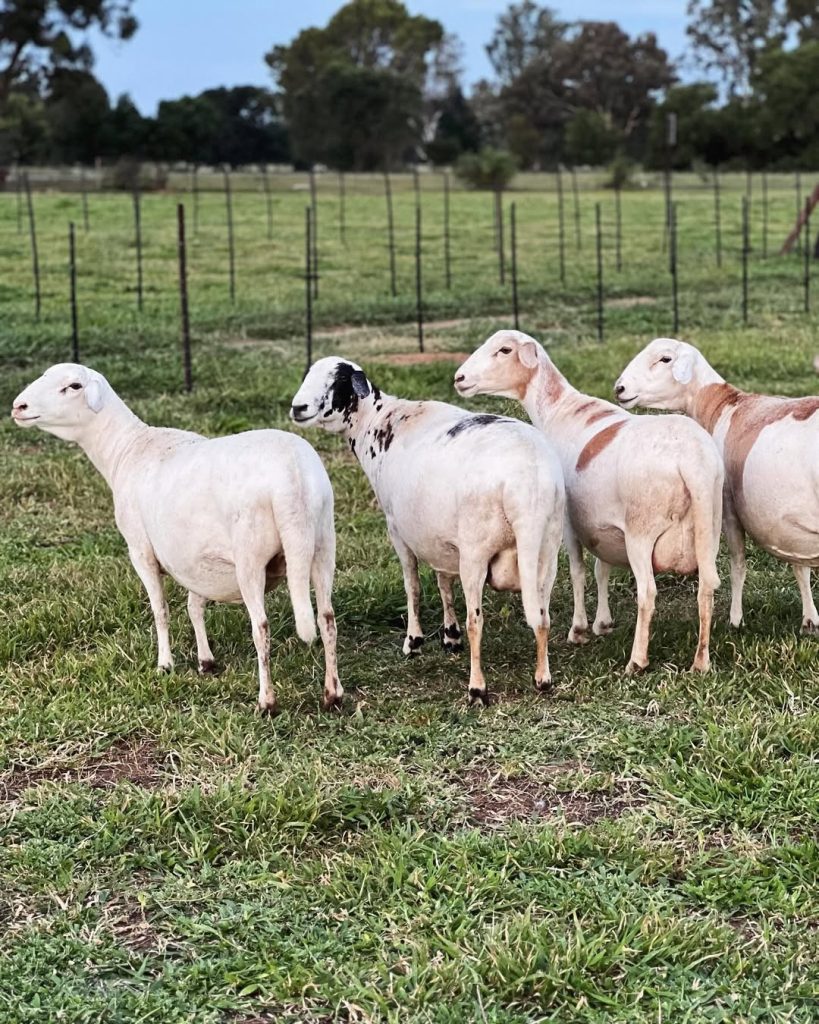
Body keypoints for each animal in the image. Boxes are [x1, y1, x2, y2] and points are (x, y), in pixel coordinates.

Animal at [11, 363, 342, 713]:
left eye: (73, 386)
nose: (19, 407)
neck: (125, 447)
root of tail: (292, 479)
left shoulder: (140, 550)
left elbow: (160, 610)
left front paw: (165, 665)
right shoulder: (193, 559)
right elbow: (194, 606)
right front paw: (206, 661)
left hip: (250, 556)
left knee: (261, 627)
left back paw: (266, 701)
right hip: (323, 544)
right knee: (327, 618)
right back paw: (332, 694)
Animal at [289, 356, 565, 705]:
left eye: (336, 382)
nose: (298, 408)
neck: (377, 422)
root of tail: (528, 487)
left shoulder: (398, 529)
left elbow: (414, 587)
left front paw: (414, 641)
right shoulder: (439, 536)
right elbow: (444, 583)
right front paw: (449, 637)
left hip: (477, 550)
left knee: (477, 621)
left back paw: (477, 688)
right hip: (546, 550)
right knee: (542, 615)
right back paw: (543, 678)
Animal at [455, 330, 724, 674]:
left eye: (504, 350)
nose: (459, 378)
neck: (559, 410)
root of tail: (693, 464)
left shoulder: (570, 522)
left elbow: (578, 571)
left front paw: (579, 629)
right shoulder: (601, 523)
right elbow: (601, 569)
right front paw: (603, 623)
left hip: (641, 531)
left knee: (647, 593)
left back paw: (637, 660)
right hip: (709, 528)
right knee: (707, 587)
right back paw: (701, 661)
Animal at [616, 337, 819, 632]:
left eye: (665, 359)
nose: (619, 388)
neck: (724, 405)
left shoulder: (728, 507)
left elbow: (738, 565)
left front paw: (735, 620)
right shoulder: (786, 524)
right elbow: (799, 568)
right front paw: (810, 619)